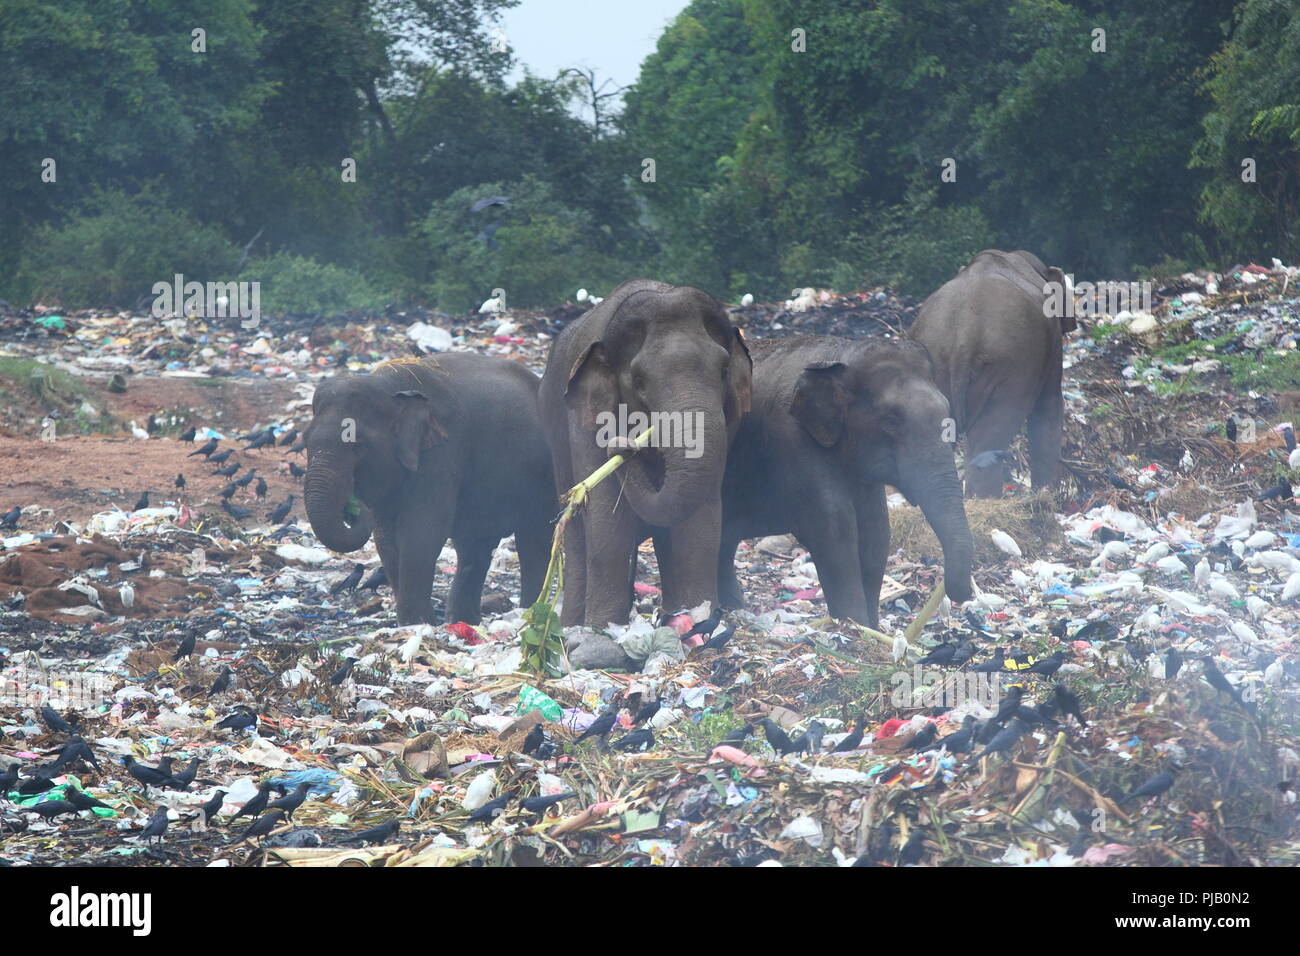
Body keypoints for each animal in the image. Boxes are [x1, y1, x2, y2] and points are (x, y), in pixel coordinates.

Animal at [303, 353, 558, 625]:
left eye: (357, 445)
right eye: (305, 441)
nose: (353, 505)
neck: (389, 385)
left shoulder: (444, 452)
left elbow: (422, 530)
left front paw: (417, 624)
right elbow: (386, 538)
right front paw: (418, 623)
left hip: (547, 476)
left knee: (534, 542)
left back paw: (530, 614)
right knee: (474, 546)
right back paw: (462, 622)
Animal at [537, 279, 753, 627]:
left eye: (723, 371)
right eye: (638, 381)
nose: (623, 445)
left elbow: (700, 524)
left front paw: (703, 616)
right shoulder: (583, 423)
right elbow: (608, 521)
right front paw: (603, 627)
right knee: (577, 536)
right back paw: (569, 624)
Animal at [718, 335, 974, 627]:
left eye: (947, 411)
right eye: (891, 419)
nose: (959, 595)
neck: (840, 356)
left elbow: (876, 529)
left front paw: (871, 627)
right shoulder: (789, 438)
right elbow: (834, 526)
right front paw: (854, 625)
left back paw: (730, 607)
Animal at [909, 249, 1074, 497]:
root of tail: (964, 341)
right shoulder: (1052, 339)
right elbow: (1049, 405)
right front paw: (1047, 494)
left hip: (936, 368)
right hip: (1012, 369)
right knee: (993, 435)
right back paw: (987, 500)